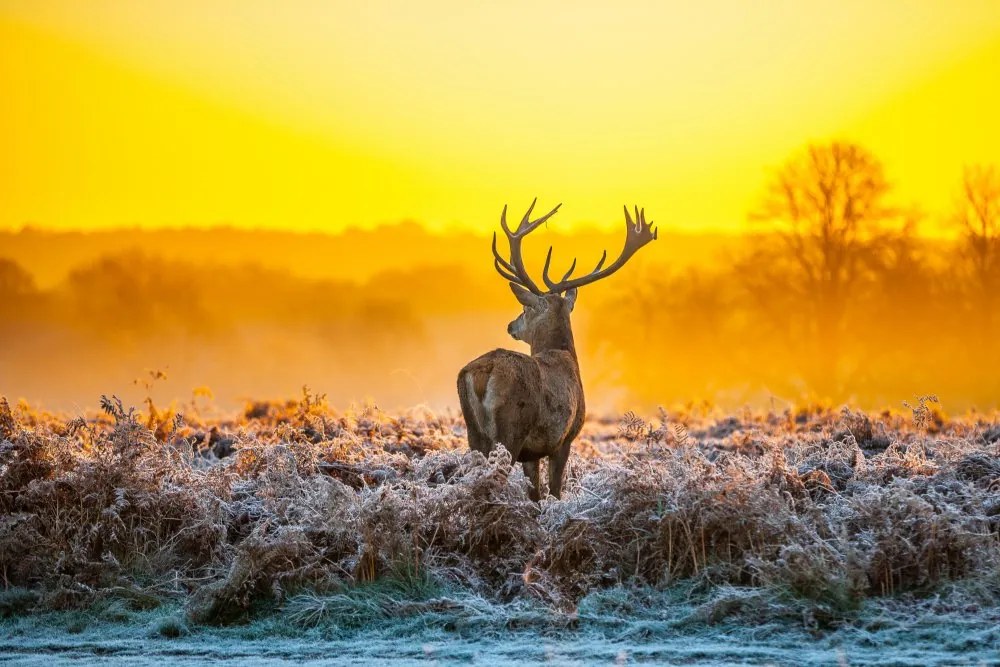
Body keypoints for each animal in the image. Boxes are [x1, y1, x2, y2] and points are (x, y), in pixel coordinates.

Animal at [458, 200, 656, 500]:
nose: (511, 325)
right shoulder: (565, 438)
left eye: (525, 308)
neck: (564, 355)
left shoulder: (532, 453)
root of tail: (483, 372)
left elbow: (536, 494)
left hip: (474, 432)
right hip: (511, 430)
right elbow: (555, 491)